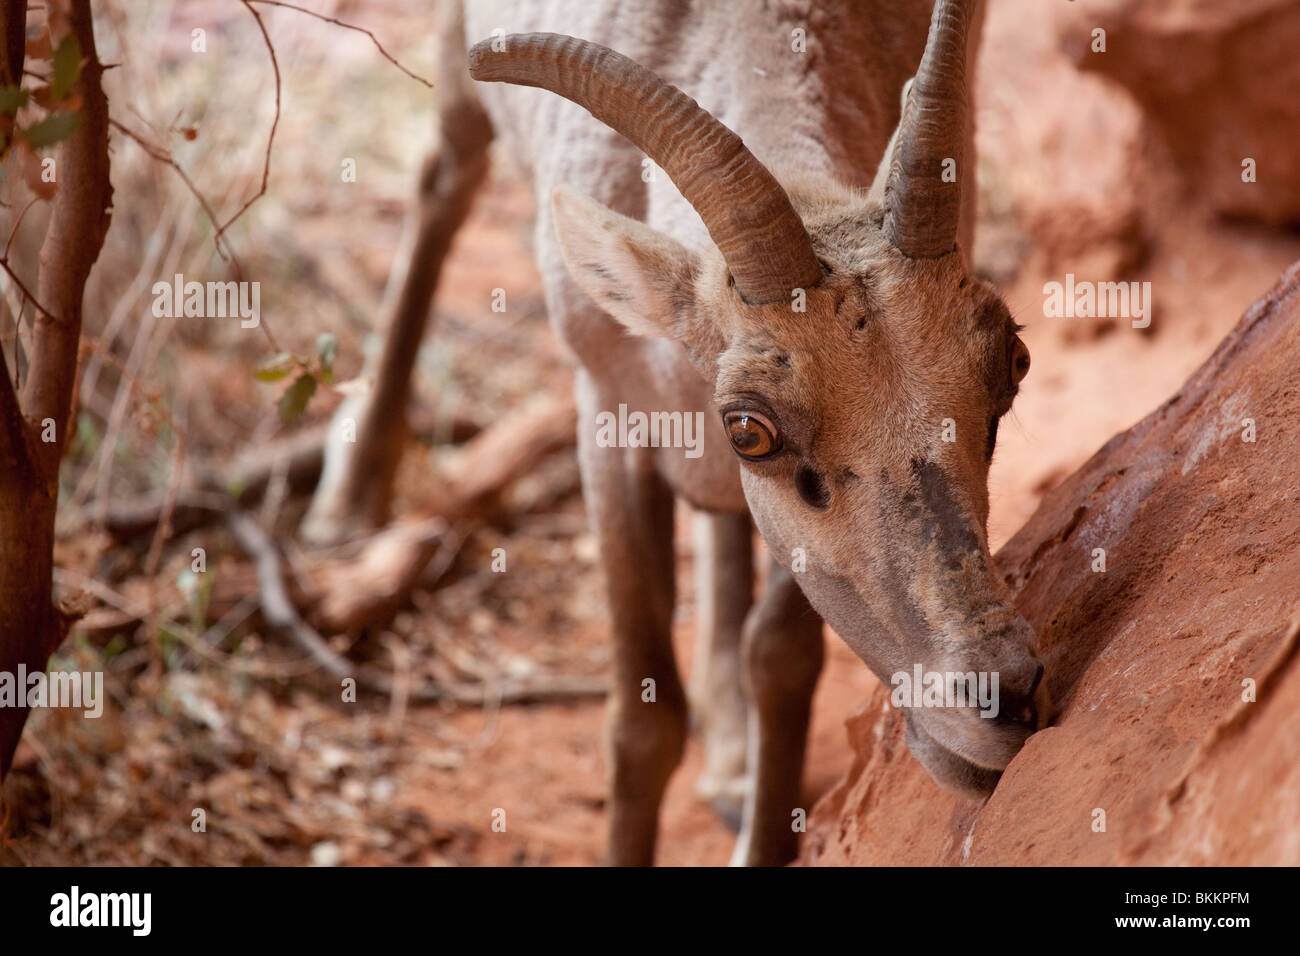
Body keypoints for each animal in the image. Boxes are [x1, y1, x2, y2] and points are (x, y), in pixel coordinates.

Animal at [321, 0, 1049, 866]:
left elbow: (780, 658)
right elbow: (644, 721)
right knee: (444, 178)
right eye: (751, 430)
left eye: (1012, 363)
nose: (1007, 699)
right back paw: (347, 502)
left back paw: (731, 765)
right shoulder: (608, 416)